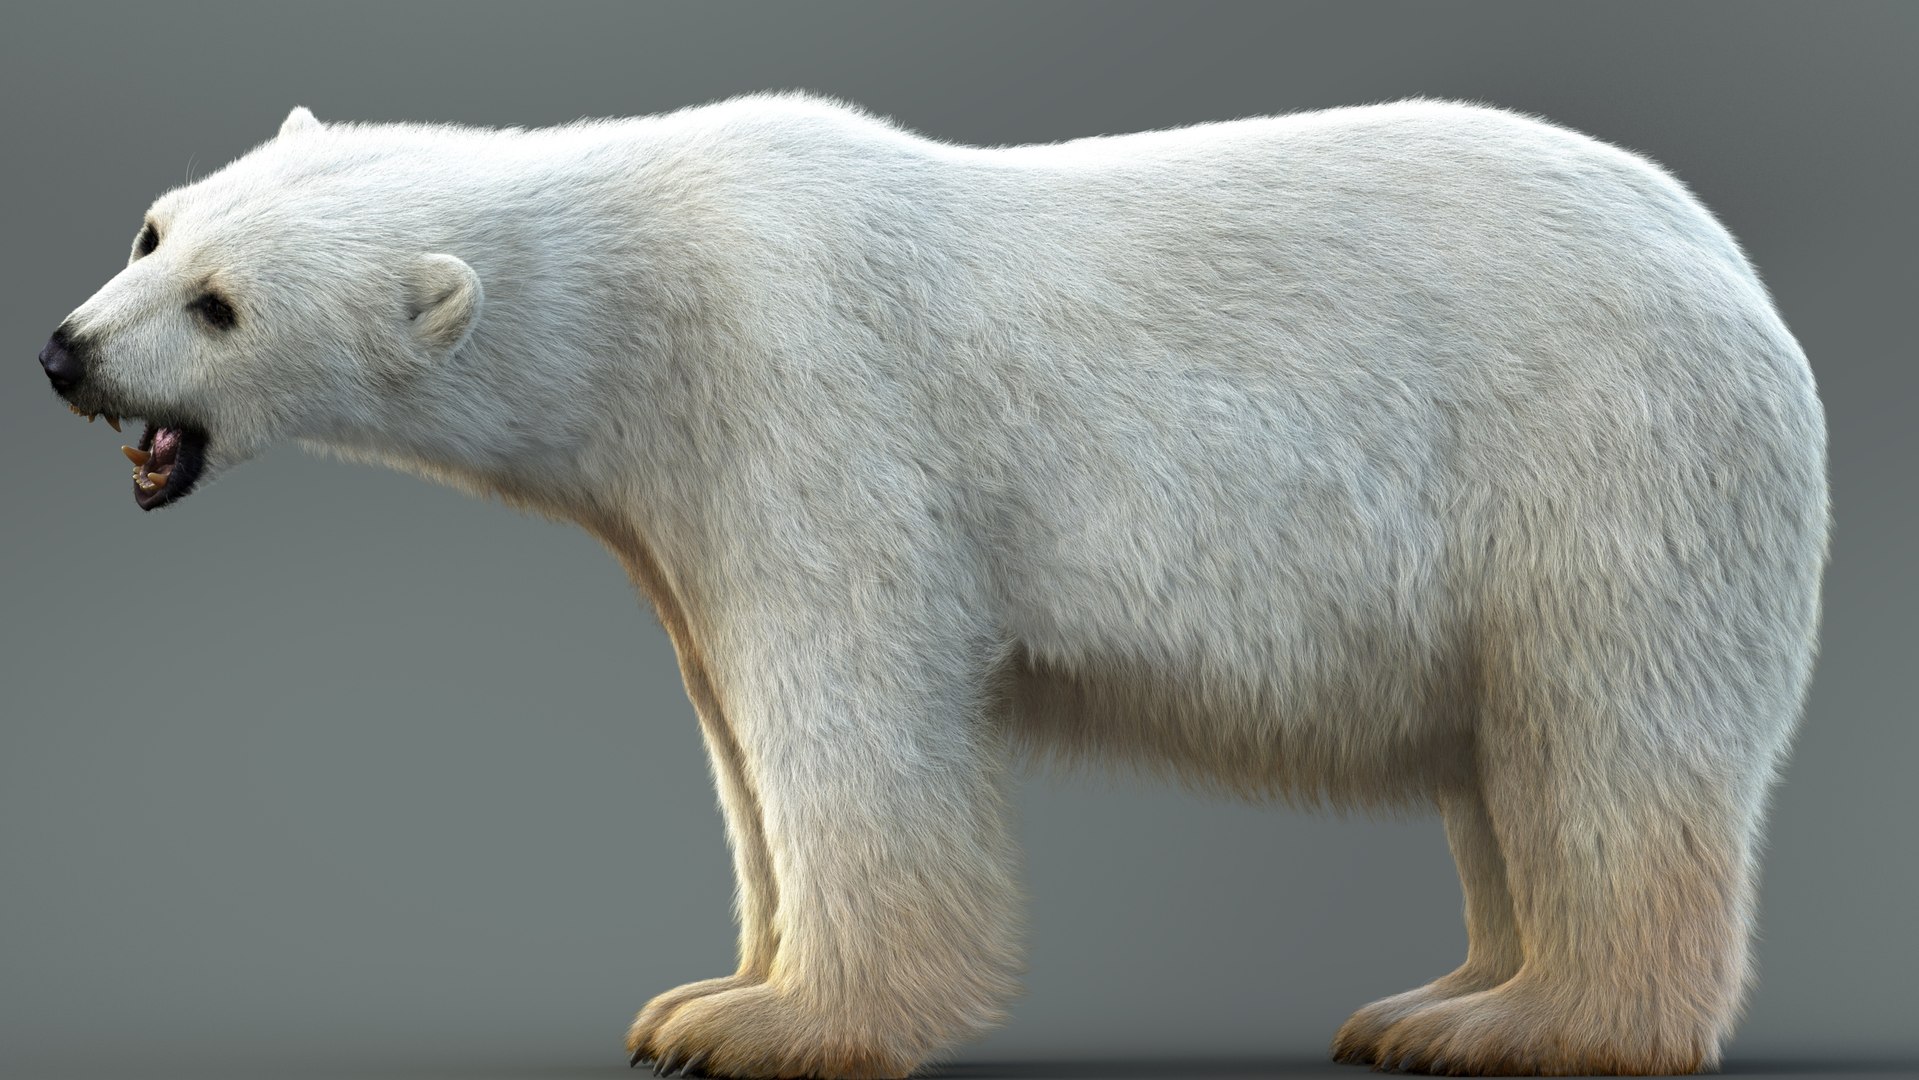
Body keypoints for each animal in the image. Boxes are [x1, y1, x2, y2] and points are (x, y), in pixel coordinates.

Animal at [38, 93, 1829, 1077]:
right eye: (152, 229)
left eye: (218, 307)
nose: (64, 356)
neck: (638, 299)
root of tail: (1739, 283)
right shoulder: (676, 507)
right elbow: (735, 731)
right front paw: (718, 981)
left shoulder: (800, 399)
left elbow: (848, 713)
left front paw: (766, 1027)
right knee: (1492, 763)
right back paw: (1444, 988)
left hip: (1598, 468)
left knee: (1601, 747)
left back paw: (1517, 1023)